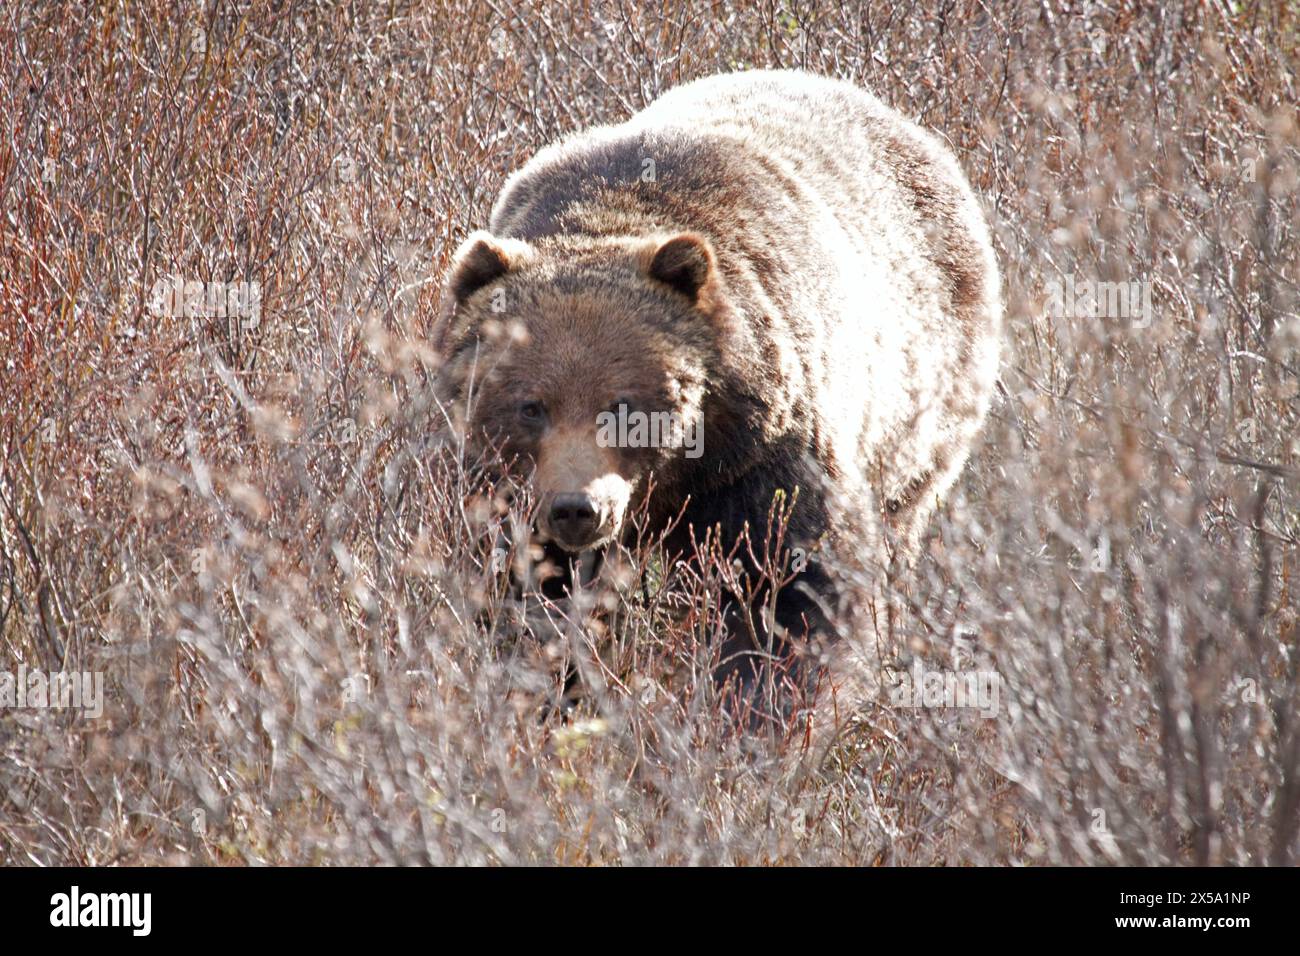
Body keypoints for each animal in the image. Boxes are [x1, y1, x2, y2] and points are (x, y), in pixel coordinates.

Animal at [433, 70, 1001, 713]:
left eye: (623, 408)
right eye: (531, 406)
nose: (577, 508)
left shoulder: (761, 458)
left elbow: (790, 584)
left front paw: (764, 704)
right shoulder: (499, 484)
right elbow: (519, 584)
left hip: (924, 395)